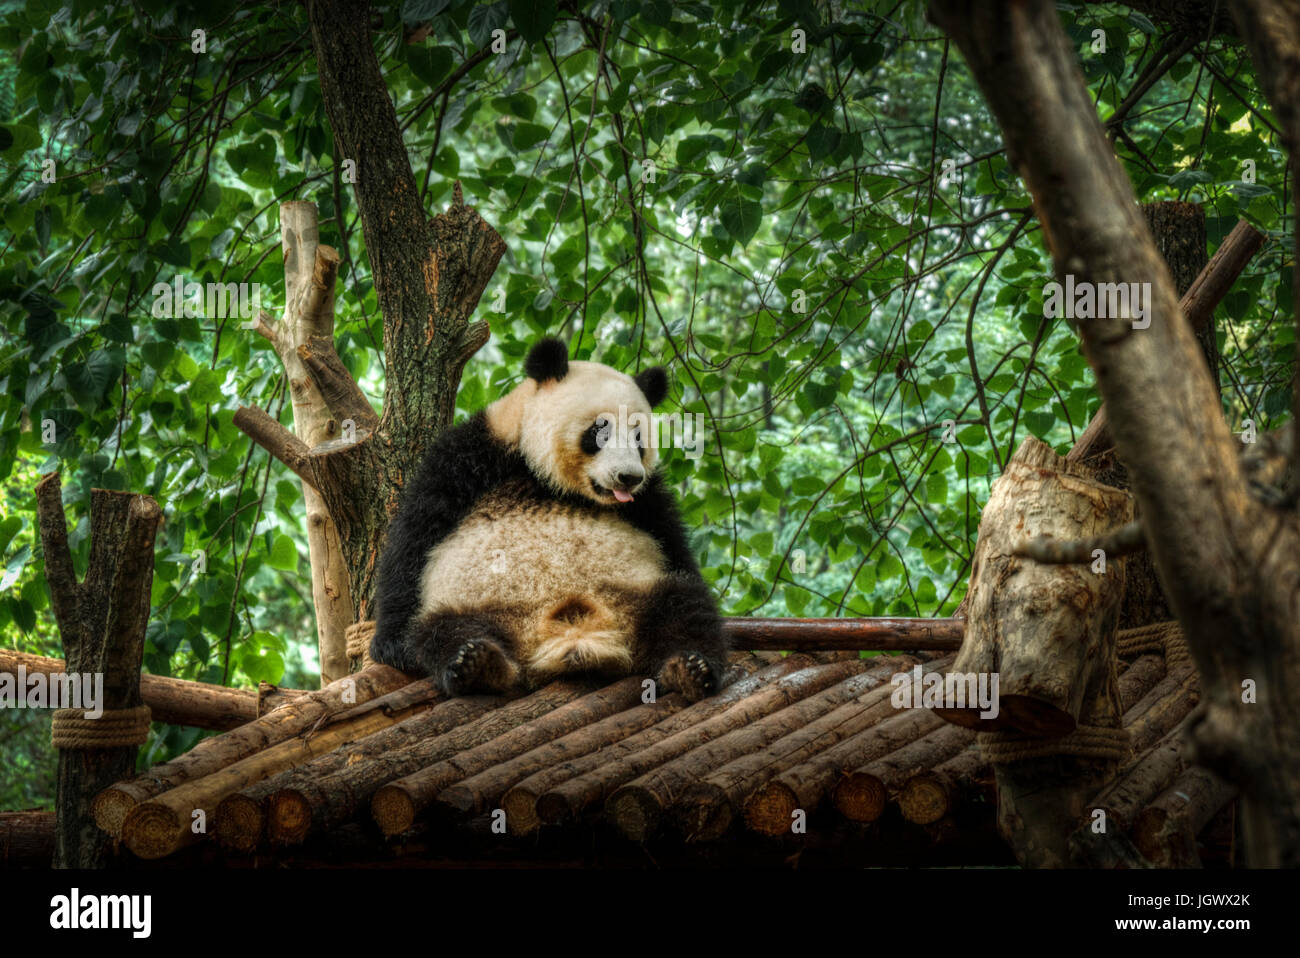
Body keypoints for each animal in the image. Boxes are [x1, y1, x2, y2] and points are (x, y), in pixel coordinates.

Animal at [369, 337, 729, 702]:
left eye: (638, 437)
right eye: (600, 431)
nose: (628, 478)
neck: (551, 482)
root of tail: (571, 634)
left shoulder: (647, 500)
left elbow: (672, 543)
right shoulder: (473, 454)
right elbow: (416, 535)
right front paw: (391, 646)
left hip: (638, 590)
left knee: (684, 608)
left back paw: (689, 667)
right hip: (474, 603)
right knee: (440, 630)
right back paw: (475, 663)